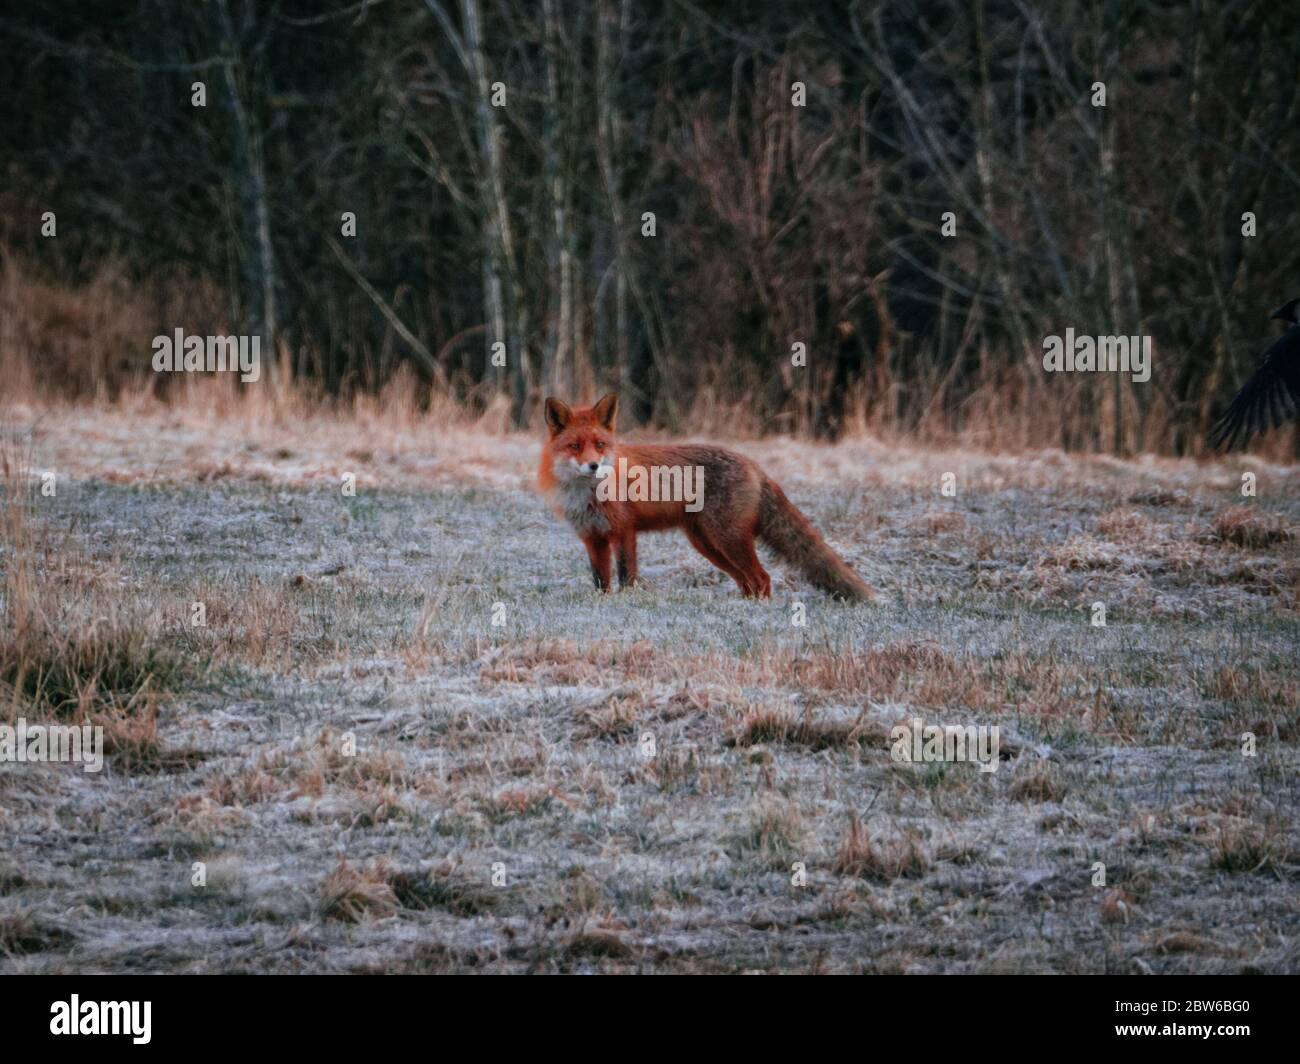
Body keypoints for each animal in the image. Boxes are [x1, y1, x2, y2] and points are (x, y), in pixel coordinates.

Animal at [537, 393, 874, 601]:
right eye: (575, 446)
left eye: (599, 444)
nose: (593, 465)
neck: (588, 493)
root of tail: (753, 463)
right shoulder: (592, 537)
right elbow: (601, 582)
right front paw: (605, 603)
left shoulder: (623, 531)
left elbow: (625, 575)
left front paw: (628, 602)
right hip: (708, 544)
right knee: (748, 582)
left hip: (727, 540)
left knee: (762, 578)